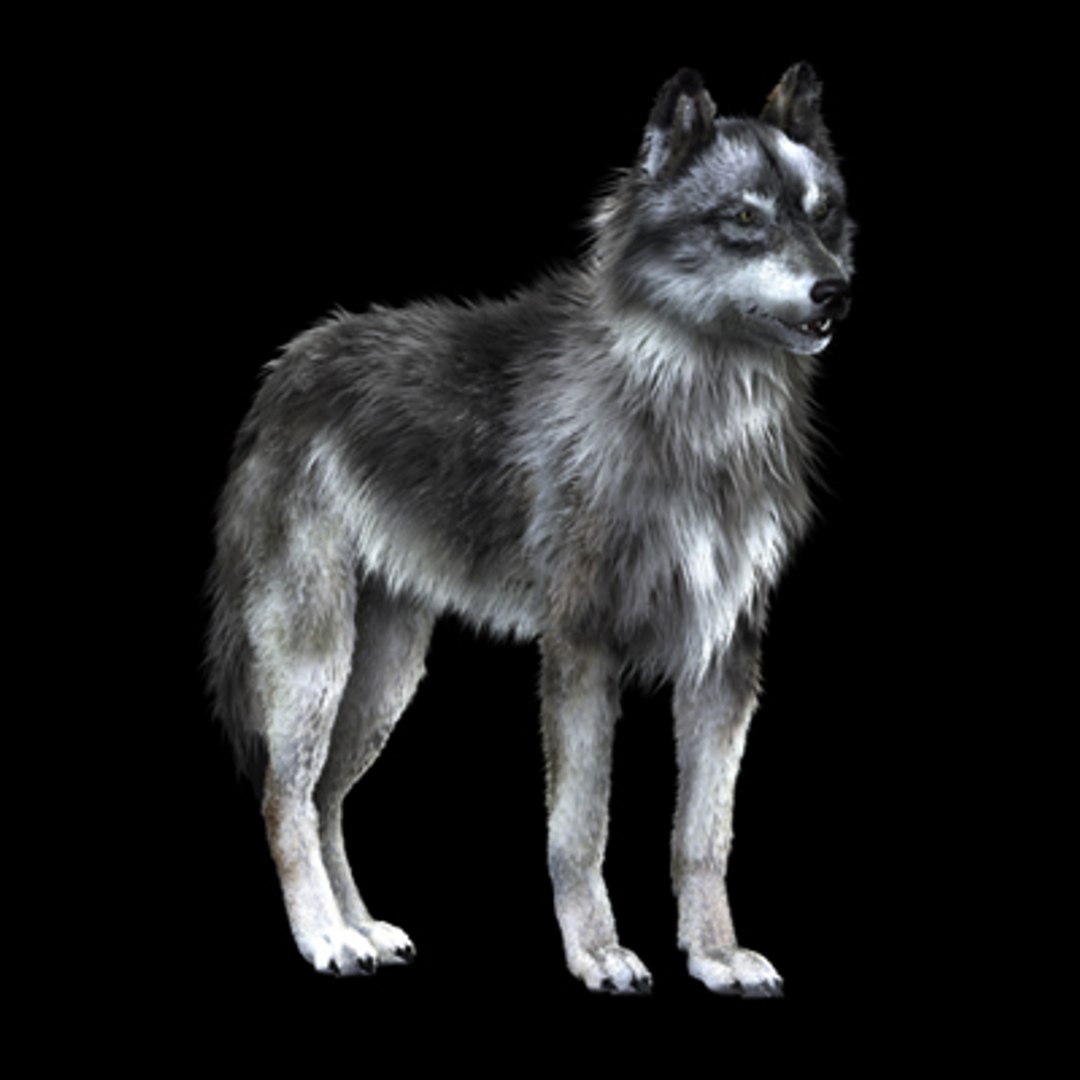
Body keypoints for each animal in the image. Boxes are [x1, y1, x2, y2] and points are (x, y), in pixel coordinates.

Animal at [206, 63, 854, 995]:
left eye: (823, 211)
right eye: (742, 218)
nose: (836, 290)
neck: (696, 410)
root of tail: (284, 369)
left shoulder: (725, 657)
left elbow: (703, 837)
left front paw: (716, 956)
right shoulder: (581, 647)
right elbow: (579, 829)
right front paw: (597, 955)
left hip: (388, 673)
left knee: (328, 796)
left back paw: (363, 929)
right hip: (316, 662)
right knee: (284, 795)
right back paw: (326, 940)